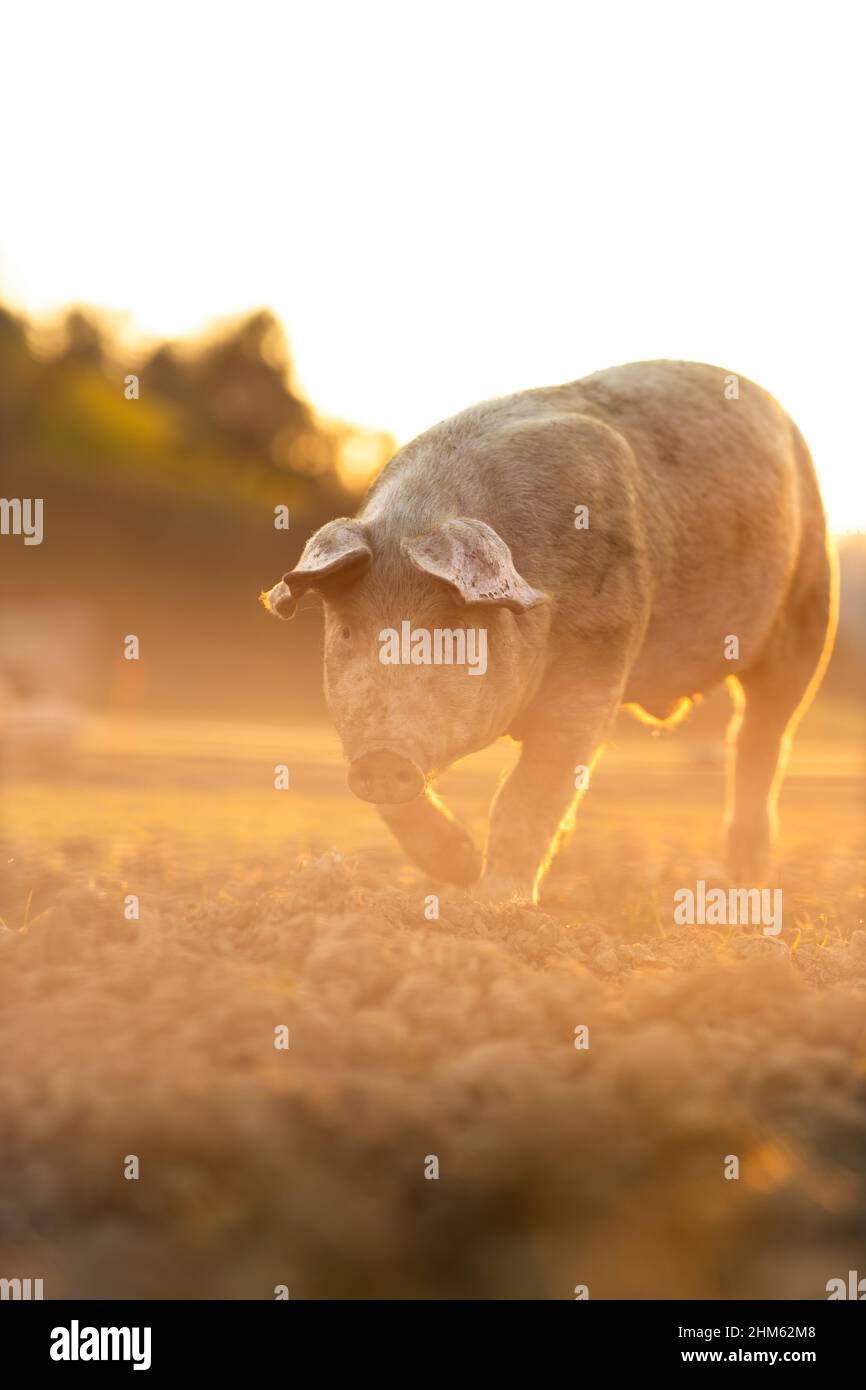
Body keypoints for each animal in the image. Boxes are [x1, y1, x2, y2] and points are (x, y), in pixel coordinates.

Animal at [262, 360, 837, 903]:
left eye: (450, 629)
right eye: (348, 633)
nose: (382, 757)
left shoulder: (598, 657)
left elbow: (530, 791)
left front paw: (496, 903)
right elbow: (400, 808)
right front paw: (463, 869)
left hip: (810, 607)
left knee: (762, 737)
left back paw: (742, 878)